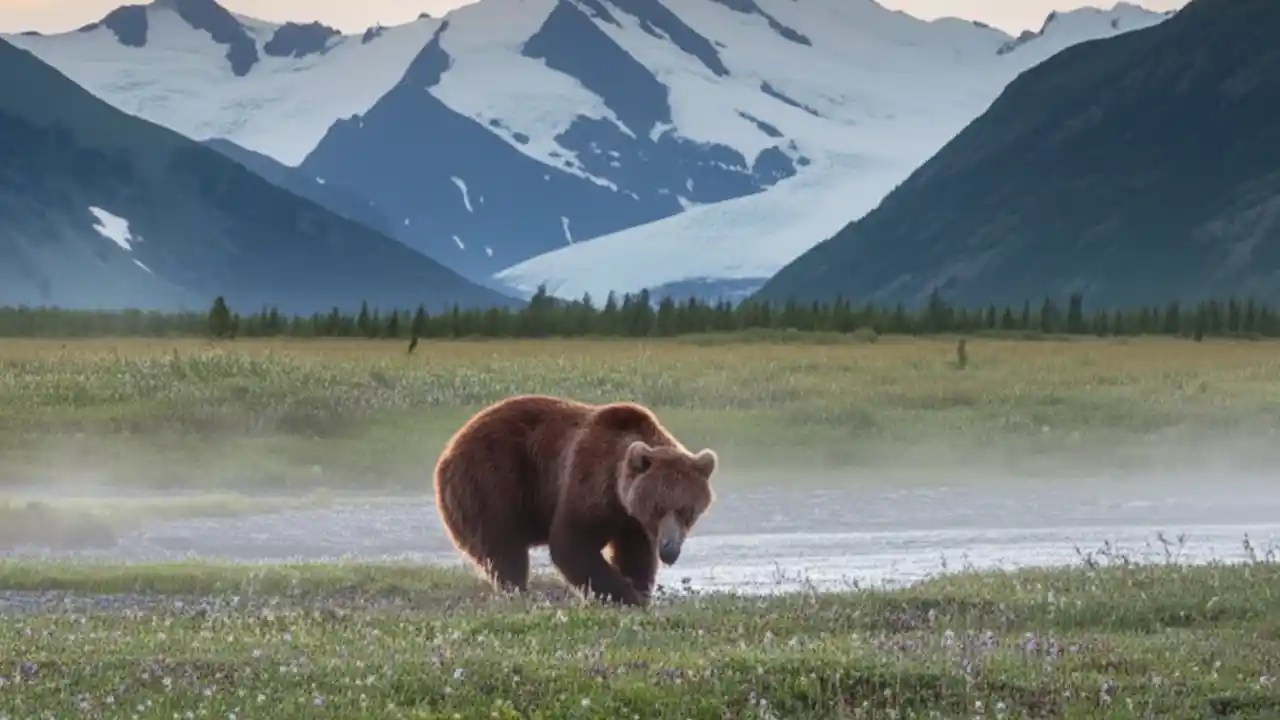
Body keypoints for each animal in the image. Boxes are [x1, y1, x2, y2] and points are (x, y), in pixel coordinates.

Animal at [432, 394, 717, 606]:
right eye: (658, 509)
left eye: (688, 512)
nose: (670, 550)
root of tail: (448, 450)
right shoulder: (588, 481)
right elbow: (572, 542)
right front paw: (626, 594)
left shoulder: (631, 519)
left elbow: (636, 552)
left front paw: (639, 588)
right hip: (491, 480)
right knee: (503, 545)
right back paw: (519, 590)